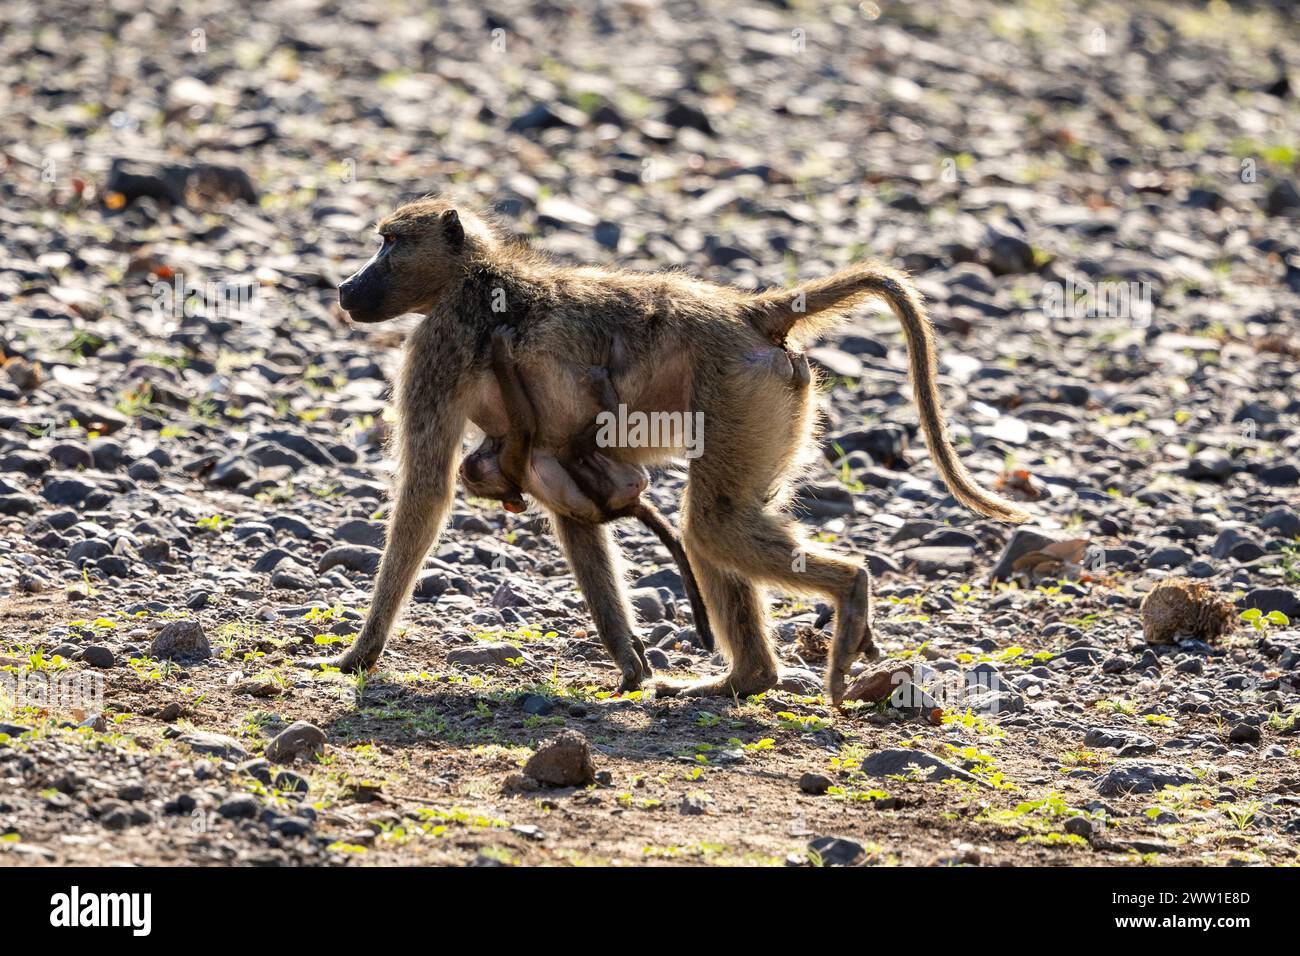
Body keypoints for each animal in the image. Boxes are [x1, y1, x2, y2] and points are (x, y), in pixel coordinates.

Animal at [324, 196, 1028, 704]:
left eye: (388, 244)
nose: (345, 286)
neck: (477, 276)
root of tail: (749, 312)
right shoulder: (547, 449)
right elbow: (575, 520)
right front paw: (629, 661)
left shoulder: (437, 346)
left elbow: (425, 491)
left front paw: (360, 652)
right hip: (774, 400)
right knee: (716, 524)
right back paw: (748, 678)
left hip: (737, 392)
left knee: (711, 525)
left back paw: (846, 597)